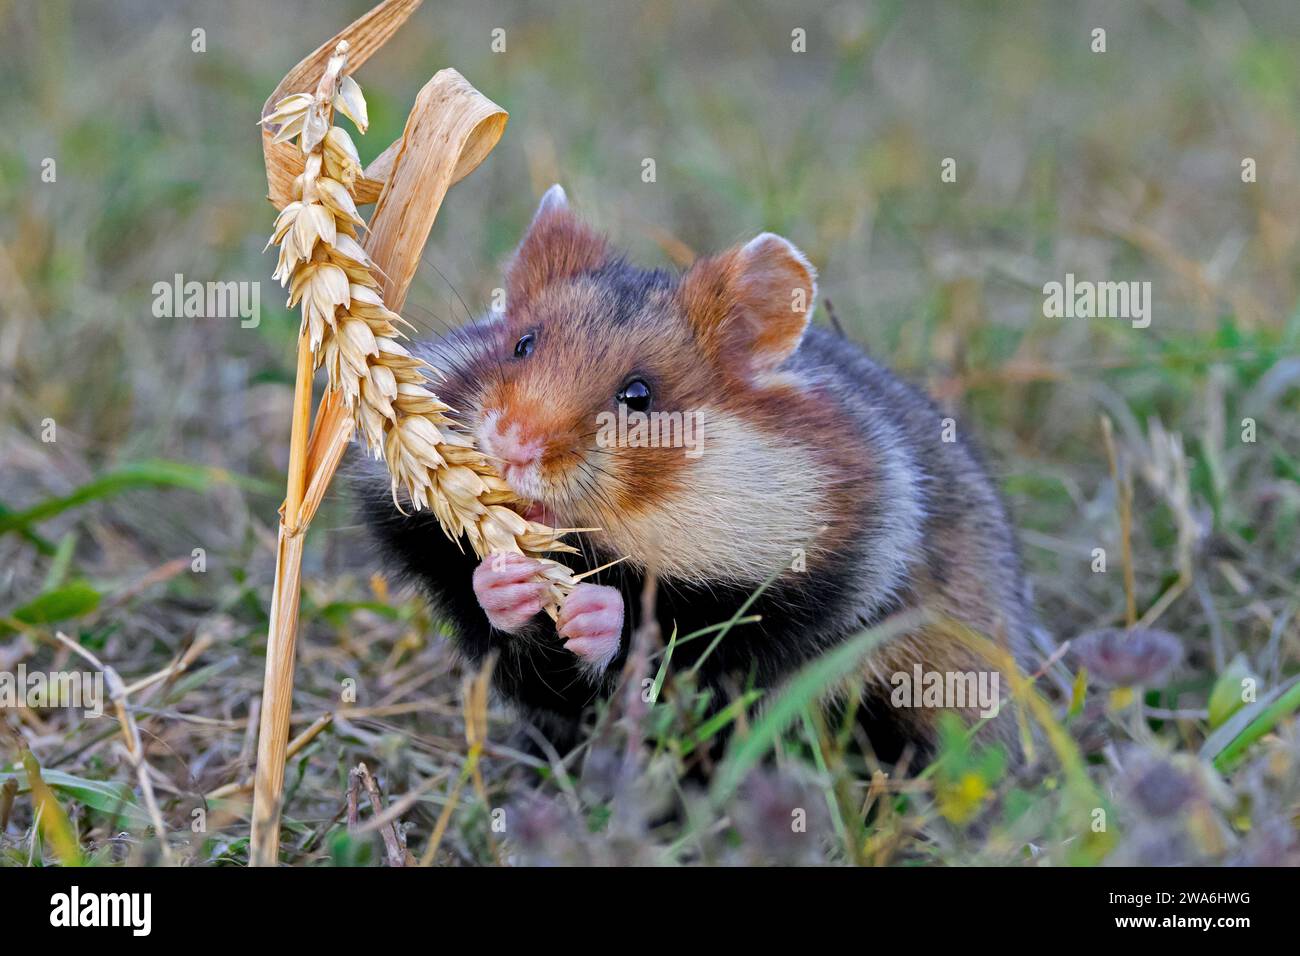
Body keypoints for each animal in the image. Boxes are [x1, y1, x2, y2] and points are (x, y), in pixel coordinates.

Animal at [358, 185, 1037, 763]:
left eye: (639, 396)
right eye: (521, 345)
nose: (511, 446)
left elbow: (671, 652)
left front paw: (593, 611)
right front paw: (509, 577)